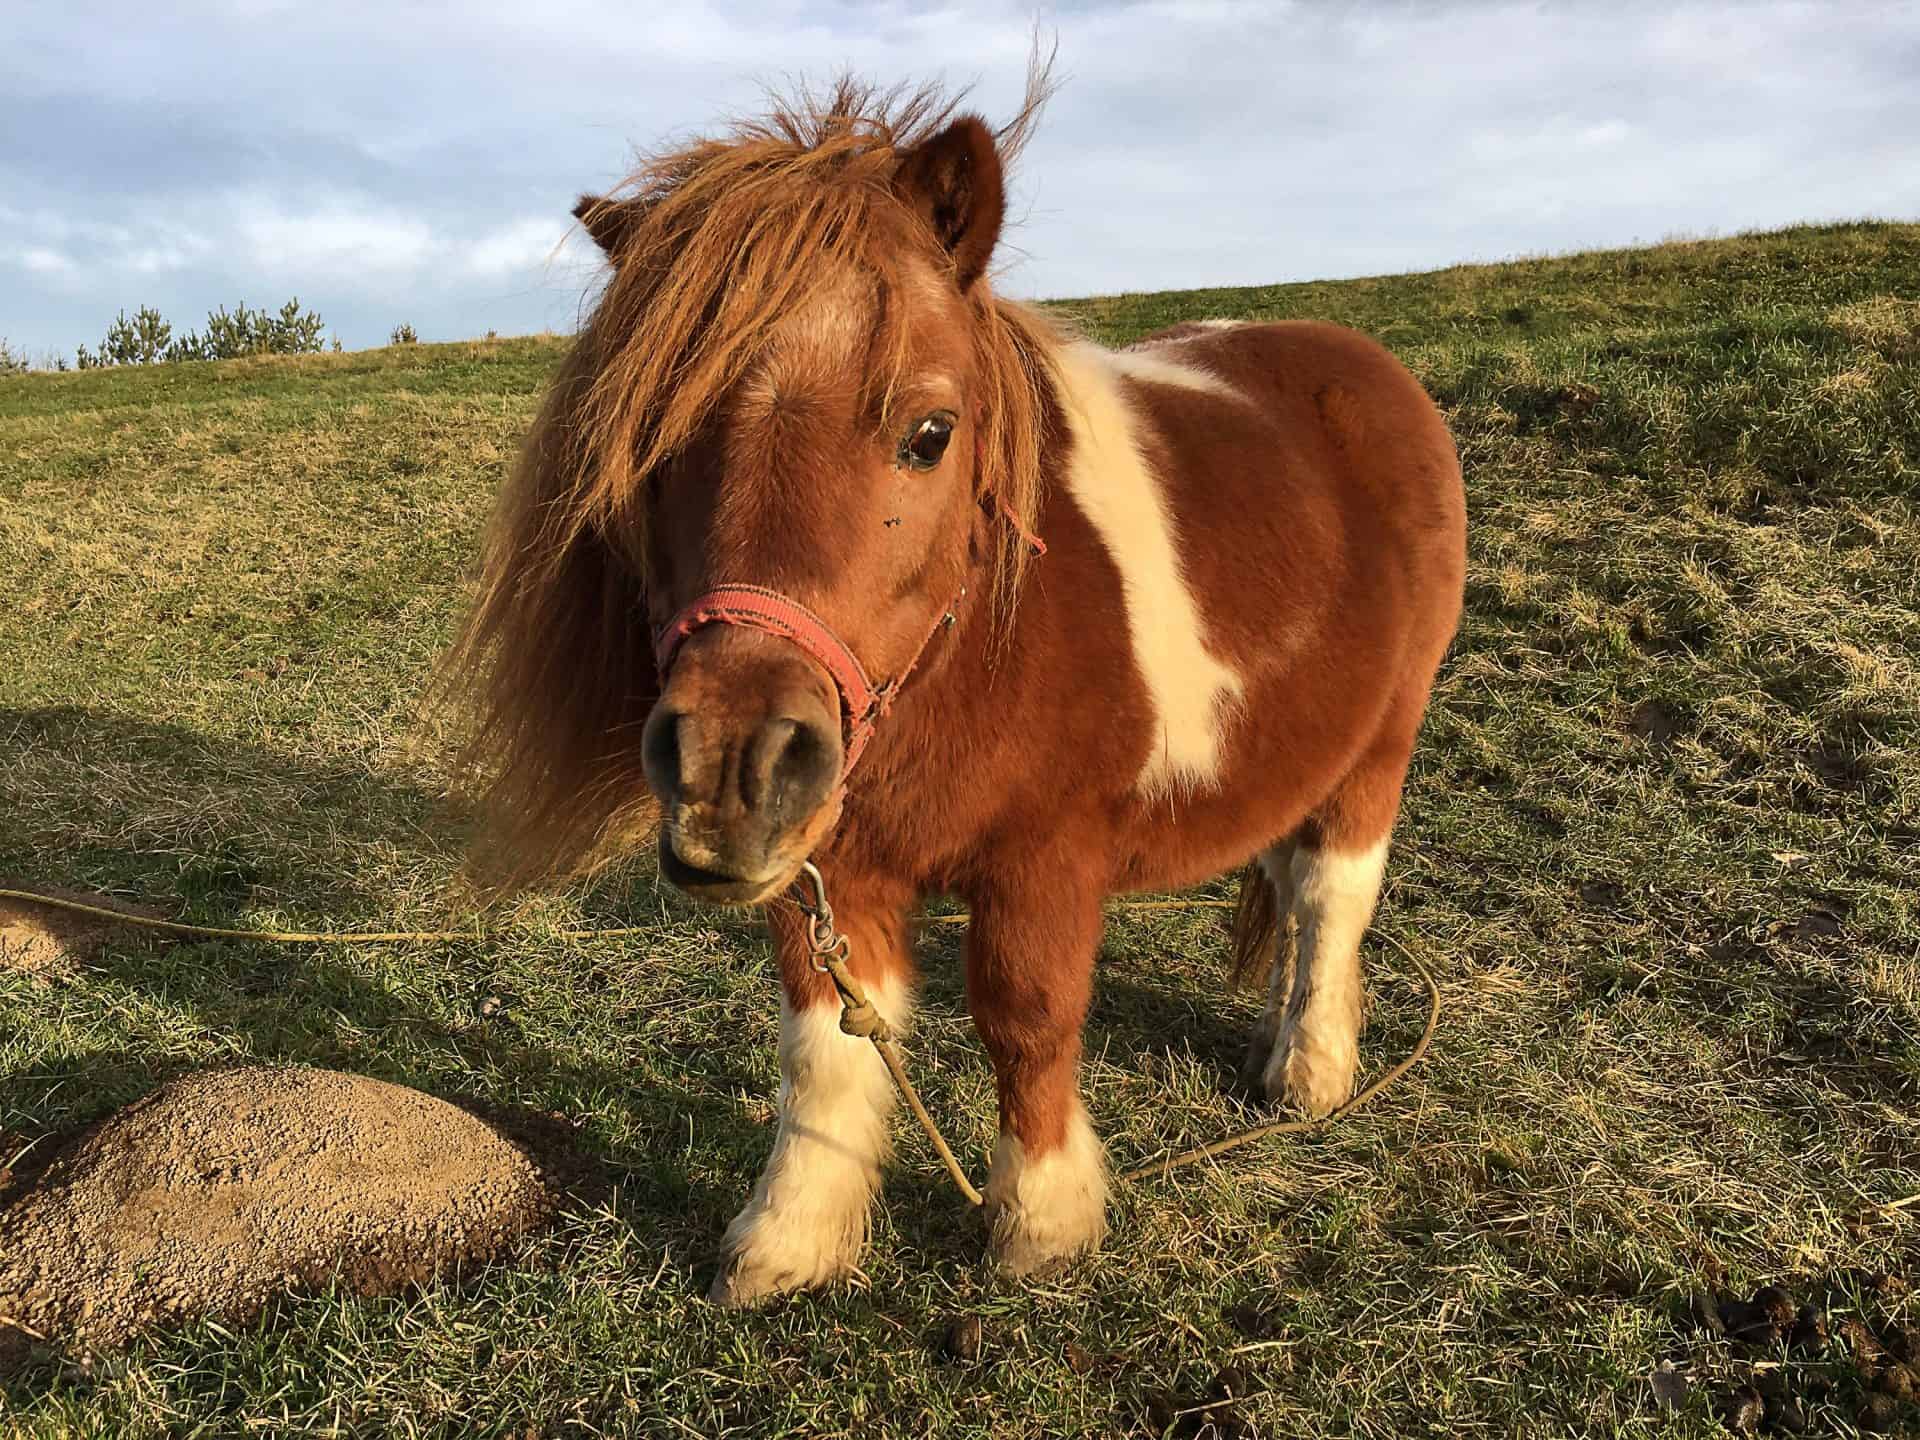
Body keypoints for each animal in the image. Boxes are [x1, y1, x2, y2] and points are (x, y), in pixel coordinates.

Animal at [445, 72, 1466, 1306]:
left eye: (930, 433)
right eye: (649, 447)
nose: (728, 769)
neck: (971, 654)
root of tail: (1361, 368)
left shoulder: (1045, 862)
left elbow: (1027, 1021)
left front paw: (1041, 1220)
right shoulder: (830, 870)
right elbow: (828, 1042)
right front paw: (793, 1236)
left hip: (1382, 745)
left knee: (1330, 899)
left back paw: (1310, 1070)